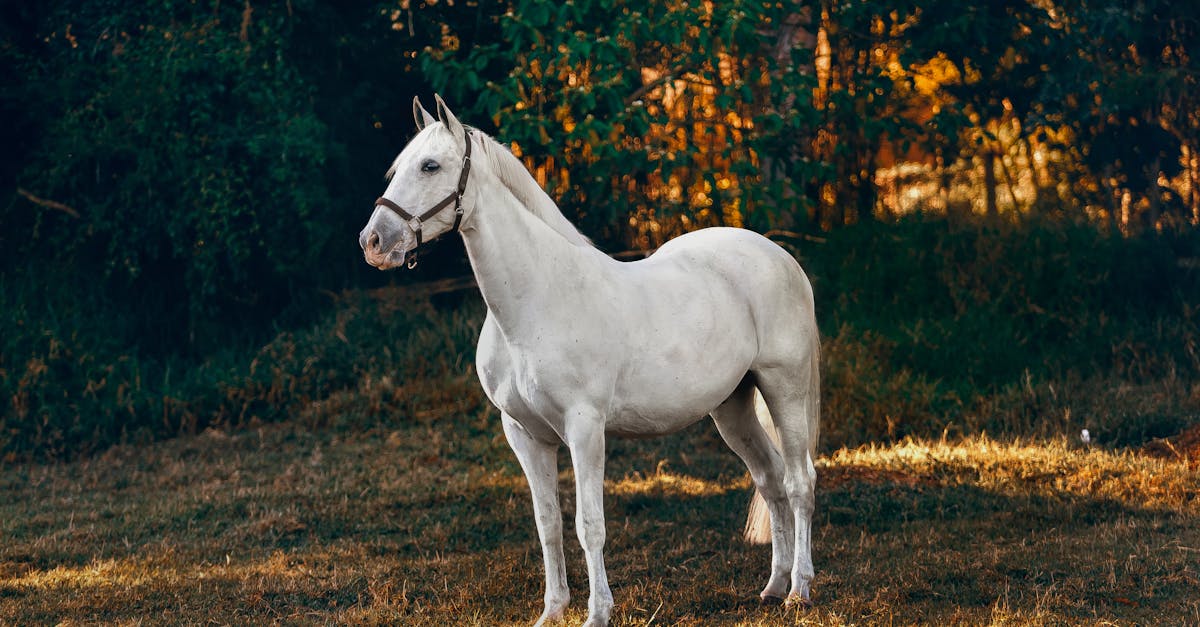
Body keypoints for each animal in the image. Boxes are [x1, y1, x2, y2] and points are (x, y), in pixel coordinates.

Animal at [359, 95, 821, 626]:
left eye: (430, 165)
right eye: (397, 168)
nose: (373, 243)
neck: (536, 300)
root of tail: (781, 257)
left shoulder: (584, 427)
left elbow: (589, 524)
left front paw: (597, 612)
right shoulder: (524, 434)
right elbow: (547, 524)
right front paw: (553, 609)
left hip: (784, 389)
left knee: (799, 481)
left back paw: (799, 590)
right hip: (733, 407)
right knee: (770, 480)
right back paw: (772, 586)